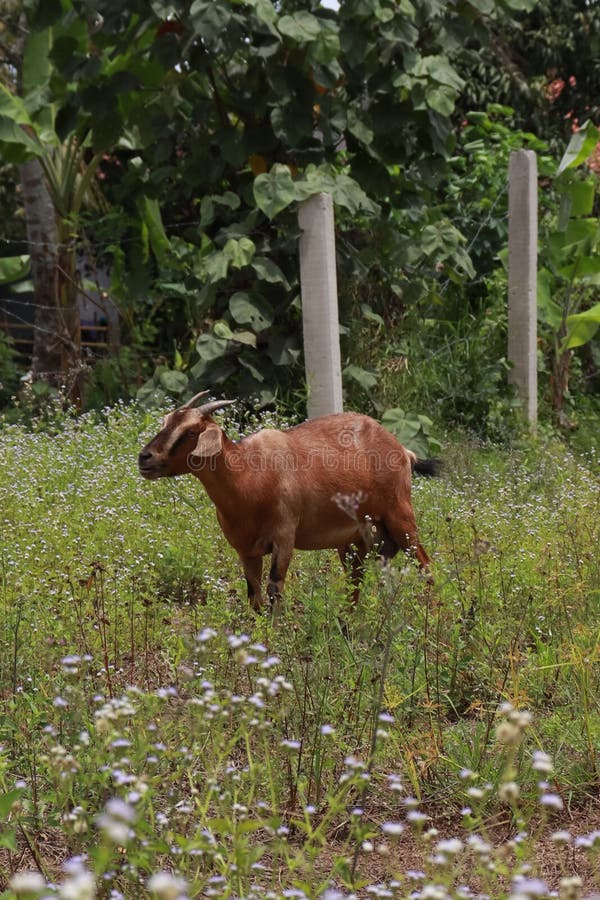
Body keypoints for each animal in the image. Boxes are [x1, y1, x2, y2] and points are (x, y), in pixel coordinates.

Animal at [138, 392, 439, 610]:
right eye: (166, 423)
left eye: (190, 432)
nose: (145, 458)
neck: (250, 474)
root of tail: (404, 451)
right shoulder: (246, 550)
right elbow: (254, 596)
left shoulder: (284, 538)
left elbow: (274, 589)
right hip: (360, 541)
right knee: (357, 580)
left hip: (401, 520)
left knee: (426, 566)